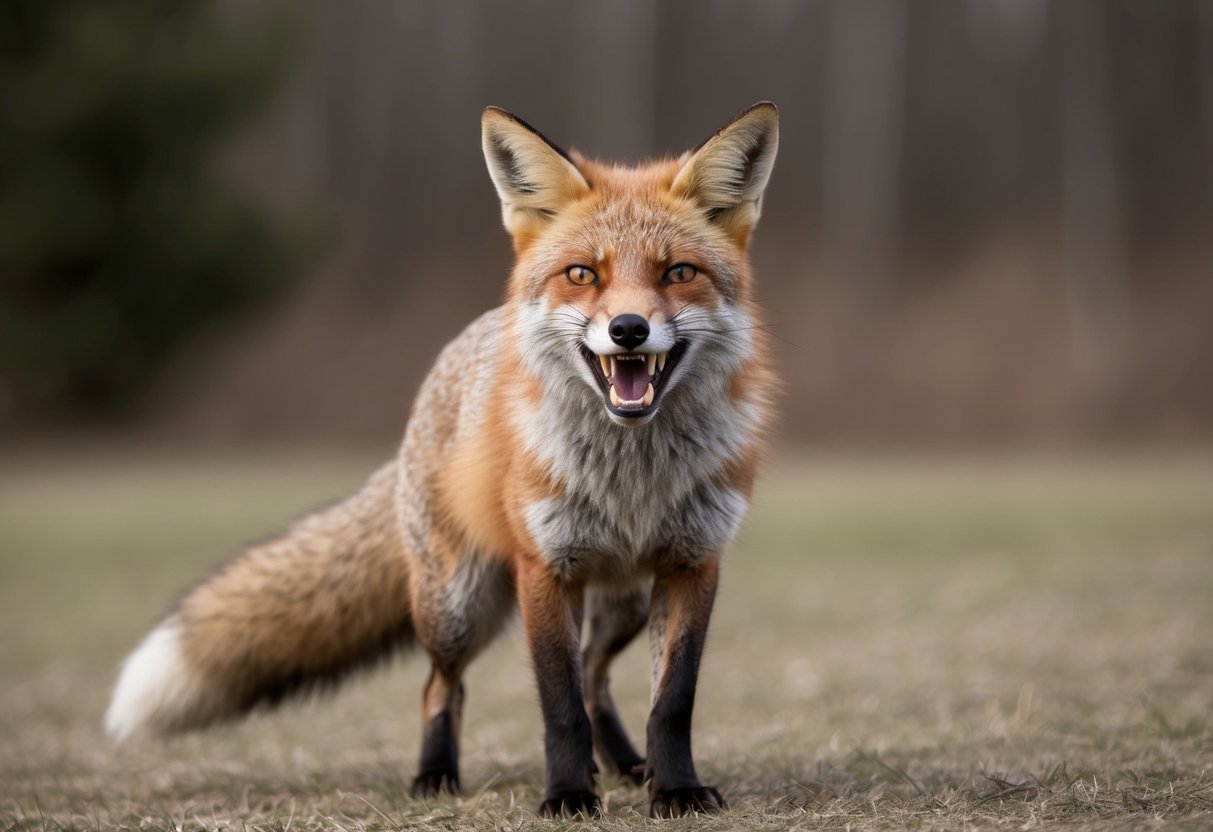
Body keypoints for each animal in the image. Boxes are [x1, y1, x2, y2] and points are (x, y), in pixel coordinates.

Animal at [106, 101, 779, 818]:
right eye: (582, 274)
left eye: (678, 272)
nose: (628, 329)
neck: (632, 476)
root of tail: (459, 347)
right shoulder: (544, 569)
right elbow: (559, 704)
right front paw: (568, 794)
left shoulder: (691, 563)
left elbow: (670, 702)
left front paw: (674, 788)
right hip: (457, 604)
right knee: (442, 687)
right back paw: (436, 776)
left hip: (621, 601)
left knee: (597, 676)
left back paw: (627, 765)